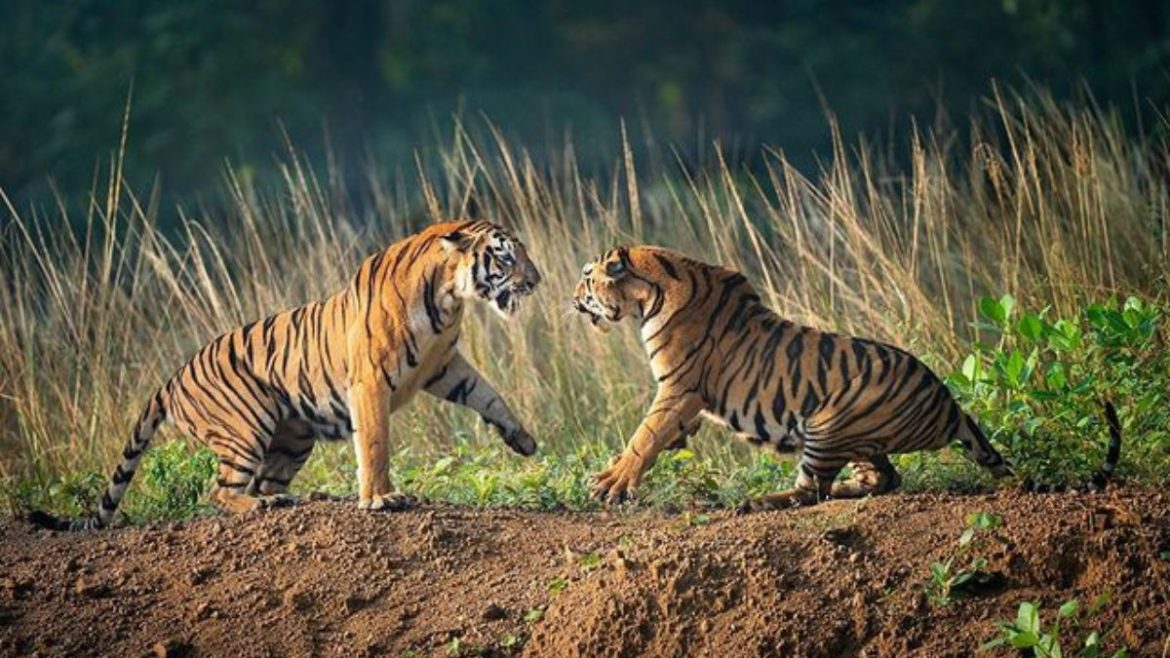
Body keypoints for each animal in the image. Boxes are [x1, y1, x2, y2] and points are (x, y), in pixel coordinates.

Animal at [29, 220, 542, 531]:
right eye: (505, 258)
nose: (536, 281)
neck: (450, 298)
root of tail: (171, 379)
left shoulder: (443, 365)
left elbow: (490, 395)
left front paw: (523, 440)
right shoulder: (370, 380)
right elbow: (375, 443)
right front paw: (380, 499)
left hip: (294, 437)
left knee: (260, 481)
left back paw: (282, 501)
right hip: (245, 426)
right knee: (220, 491)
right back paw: (260, 506)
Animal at [572, 246, 1122, 511]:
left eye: (587, 277)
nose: (573, 299)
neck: (650, 291)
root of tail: (950, 403)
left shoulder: (678, 388)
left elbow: (644, 435)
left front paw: (611, 483)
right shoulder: (685, 397)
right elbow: (659, 437)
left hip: (827, 422)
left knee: (810, 491)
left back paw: (760, 500)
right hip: (856, 437)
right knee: (885, 479)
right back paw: (844, 490)